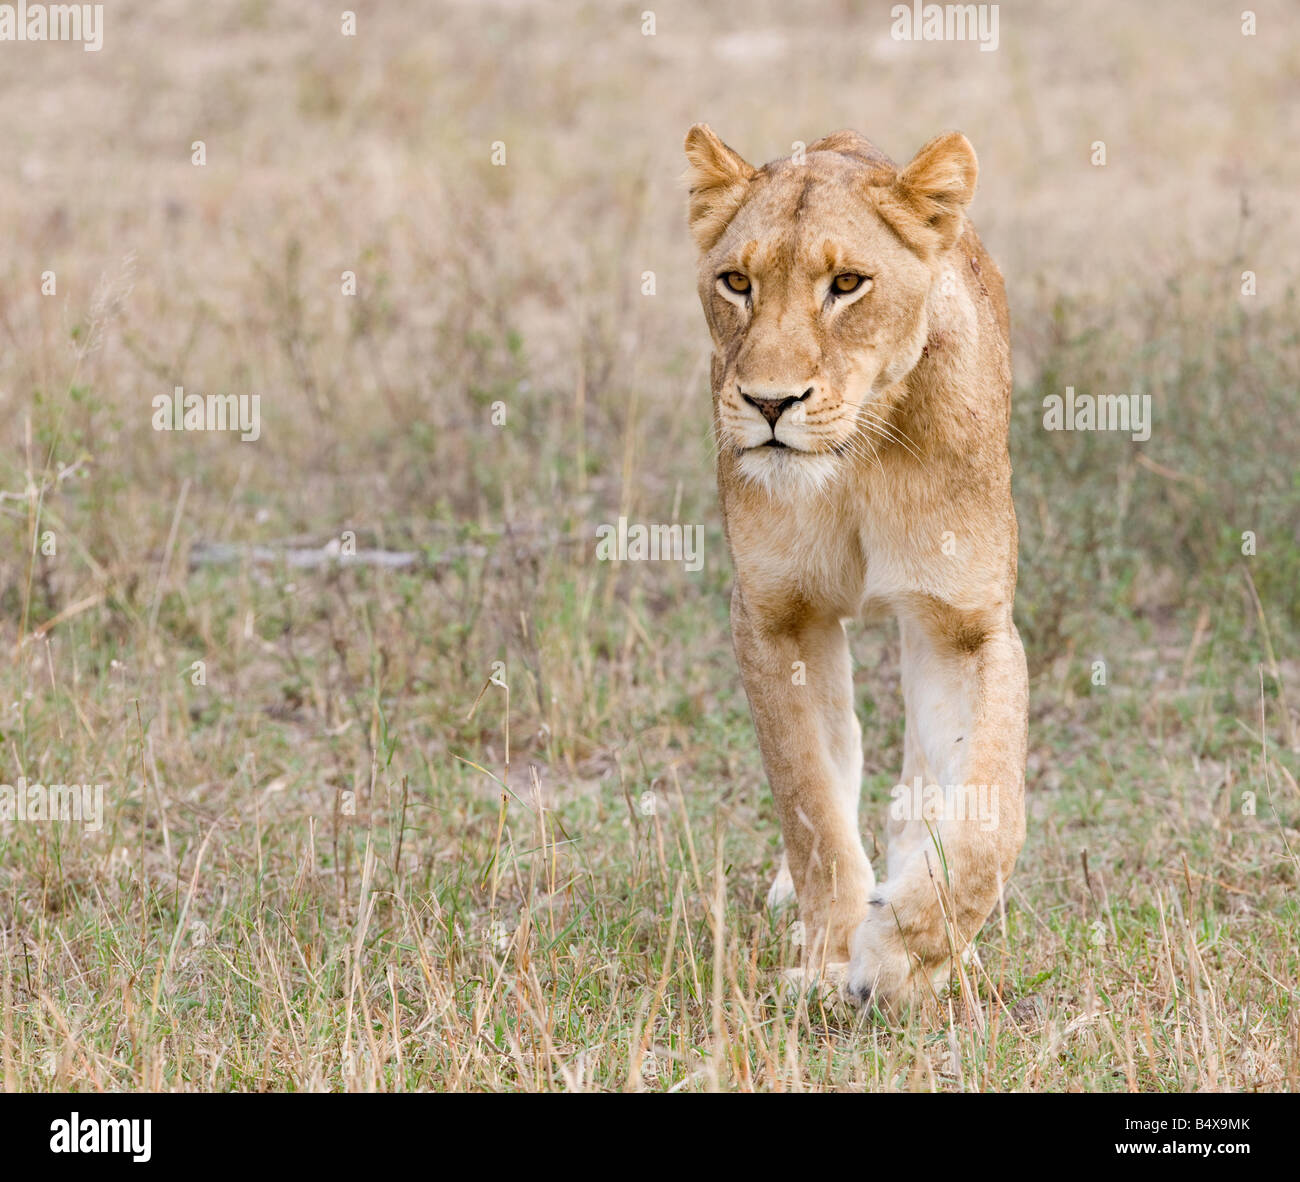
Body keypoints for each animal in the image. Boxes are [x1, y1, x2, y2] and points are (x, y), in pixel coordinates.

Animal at [684, 125, 1028, 1012]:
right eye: (737, 282)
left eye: (847, 284)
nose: (771, 404)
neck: (857, 457)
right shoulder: (776, 617)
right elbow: (810, 800)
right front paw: (836, 953)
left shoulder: (965, 626)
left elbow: (990, 821)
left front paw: (901, 953)